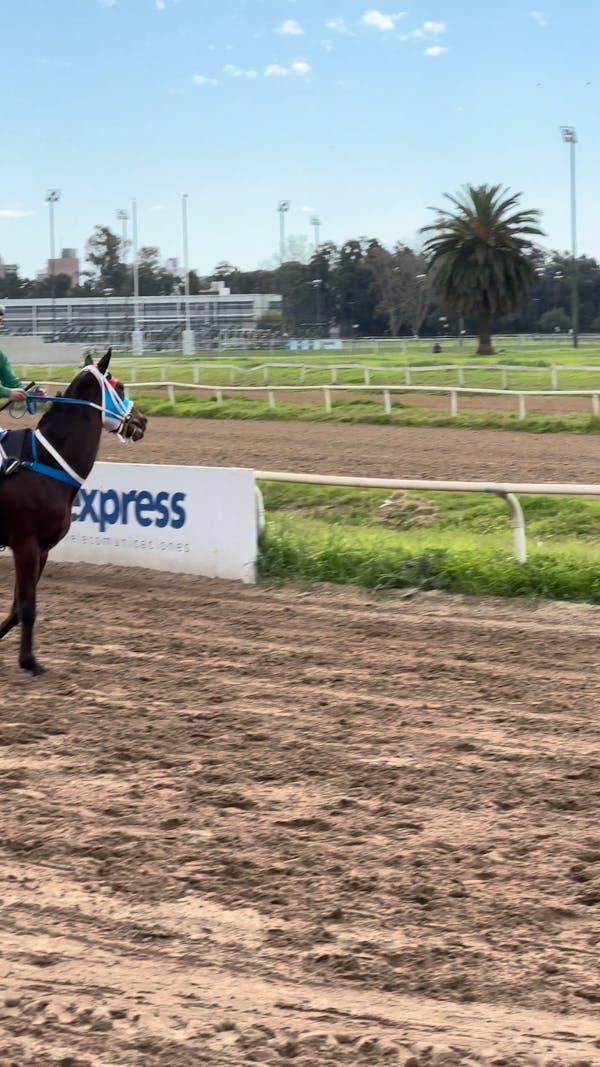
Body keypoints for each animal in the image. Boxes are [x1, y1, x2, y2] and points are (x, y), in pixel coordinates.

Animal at [0, 349, 147, 675]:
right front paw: (29, 660)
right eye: (120, 387)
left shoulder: (42, 549)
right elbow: (27, 606)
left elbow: (17, 606)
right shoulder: (25, 544)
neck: (44, 462)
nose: (143, 420)